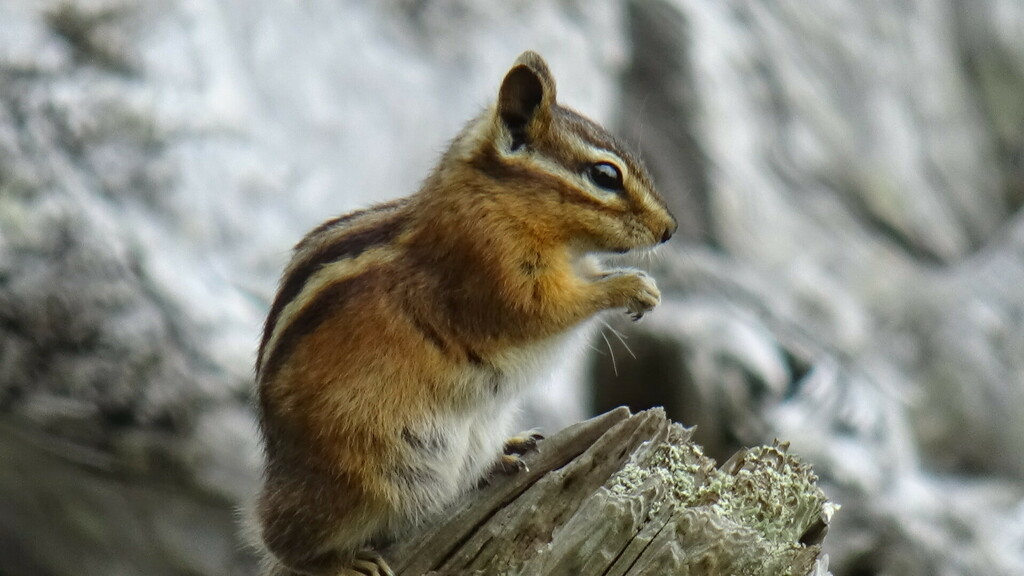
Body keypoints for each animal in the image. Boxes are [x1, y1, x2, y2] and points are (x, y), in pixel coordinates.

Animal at [253, 51, 676, 576]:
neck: (496, 199)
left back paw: (505, 452)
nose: (670, 229)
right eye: (605, 176)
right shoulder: (499, 274)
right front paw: (630, 286)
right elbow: (549, 309)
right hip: (360, 479)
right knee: (281, 542)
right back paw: (340, 562)